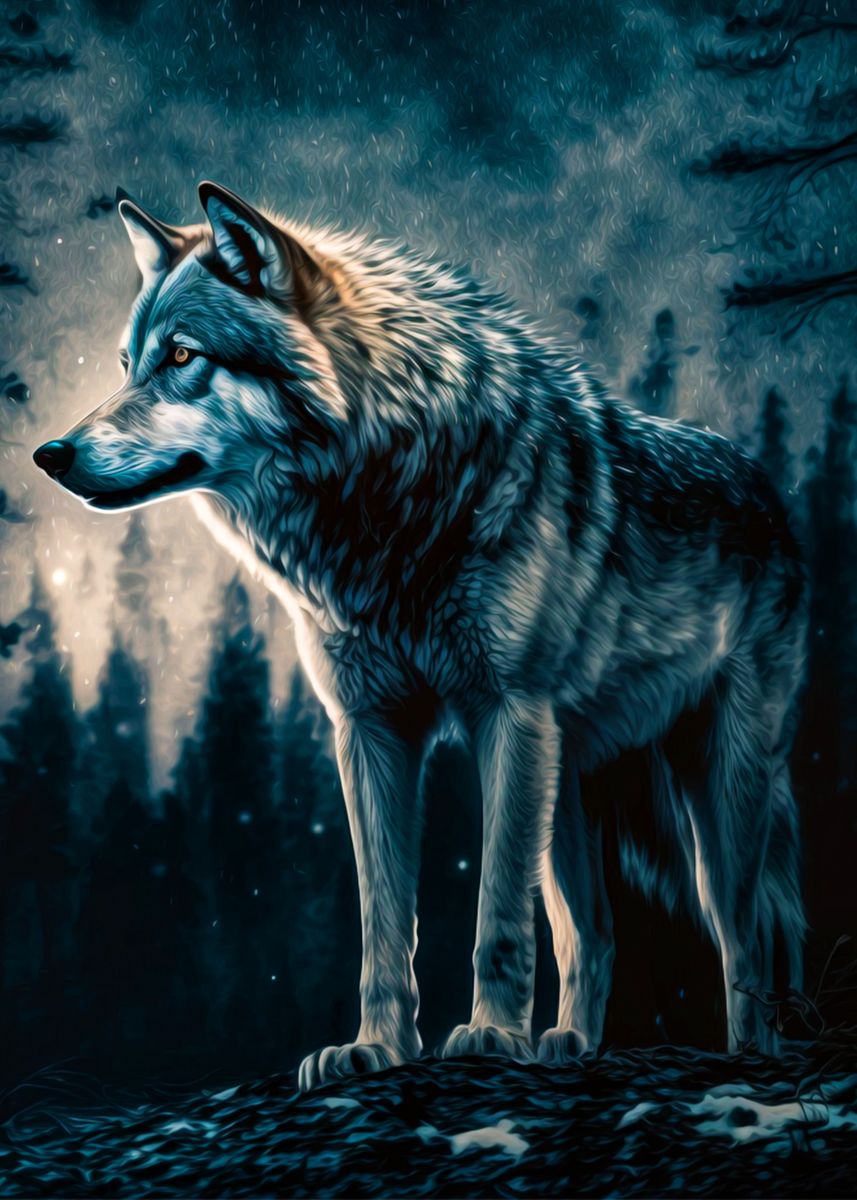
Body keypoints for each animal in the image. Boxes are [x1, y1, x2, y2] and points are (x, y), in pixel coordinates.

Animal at [35, 182, 807, 1088]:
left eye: (183, 357)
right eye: (127, 365)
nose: (51, 453)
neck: (384, 509)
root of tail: (762, 479)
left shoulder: (505, 714)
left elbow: (495, 915)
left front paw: (491, 1035)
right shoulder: (369, 730)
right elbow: (381, 922)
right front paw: (375, 1048)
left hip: (719, 795)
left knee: (743, 930)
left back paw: (748, 1056)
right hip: (568, 792)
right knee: (593, 931)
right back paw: (570, 1045)